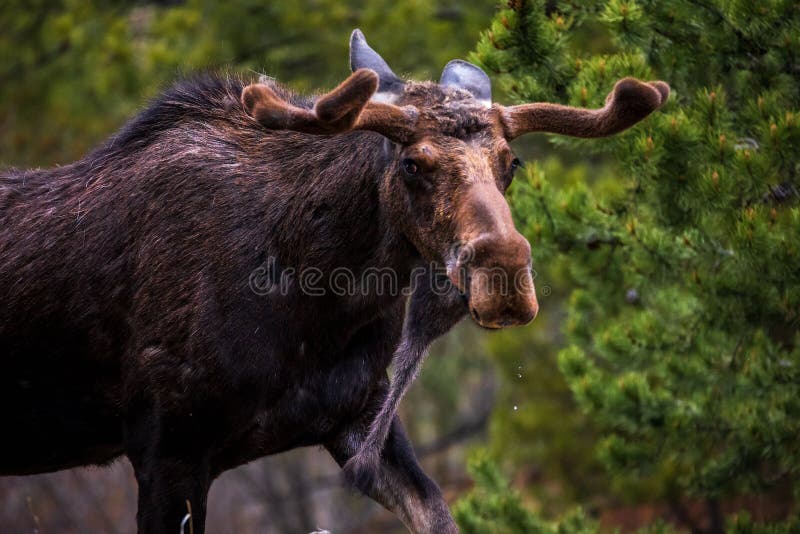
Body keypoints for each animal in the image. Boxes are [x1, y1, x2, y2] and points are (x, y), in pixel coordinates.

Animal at [0, 29, 668, 533]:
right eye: (414, 163)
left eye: (512, 162)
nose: (503, 271)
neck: (320, 302)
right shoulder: (167, 447)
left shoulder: (359, 420)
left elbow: (438, 513)